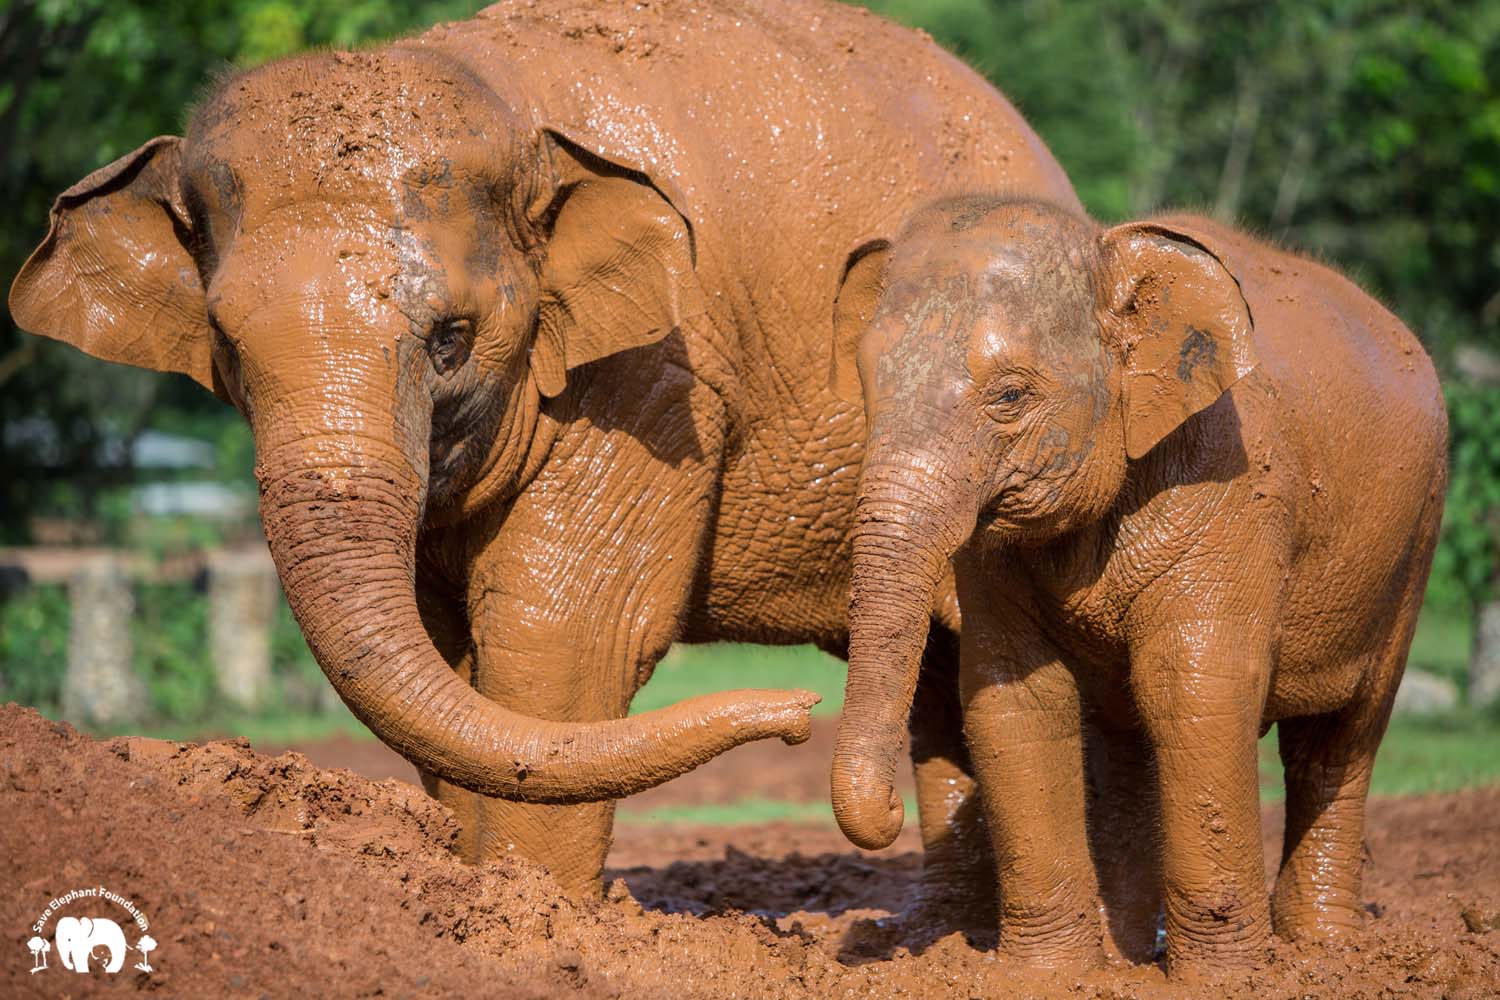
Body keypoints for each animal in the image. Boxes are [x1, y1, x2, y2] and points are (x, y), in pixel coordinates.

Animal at [7, 0, 1079, 897]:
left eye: (450, 338)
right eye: (226, 347)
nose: (796, 717)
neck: (500, 99)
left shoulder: (667, 371)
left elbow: (560, 632)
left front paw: (543, 920)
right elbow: (449, 654)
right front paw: (479, 897)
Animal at [827, 196, 1446, 975]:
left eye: (1010, 395)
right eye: (868, 385)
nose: (889, 814)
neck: (1103, 248)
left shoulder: (1232, 485)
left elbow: (1194, 686)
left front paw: (1225, 979)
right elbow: (1016, 697)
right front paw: (1047, 975)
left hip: (1412, 550)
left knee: (1340, 737)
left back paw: (1323, 948)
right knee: (1127, 743)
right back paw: (1125, 953)